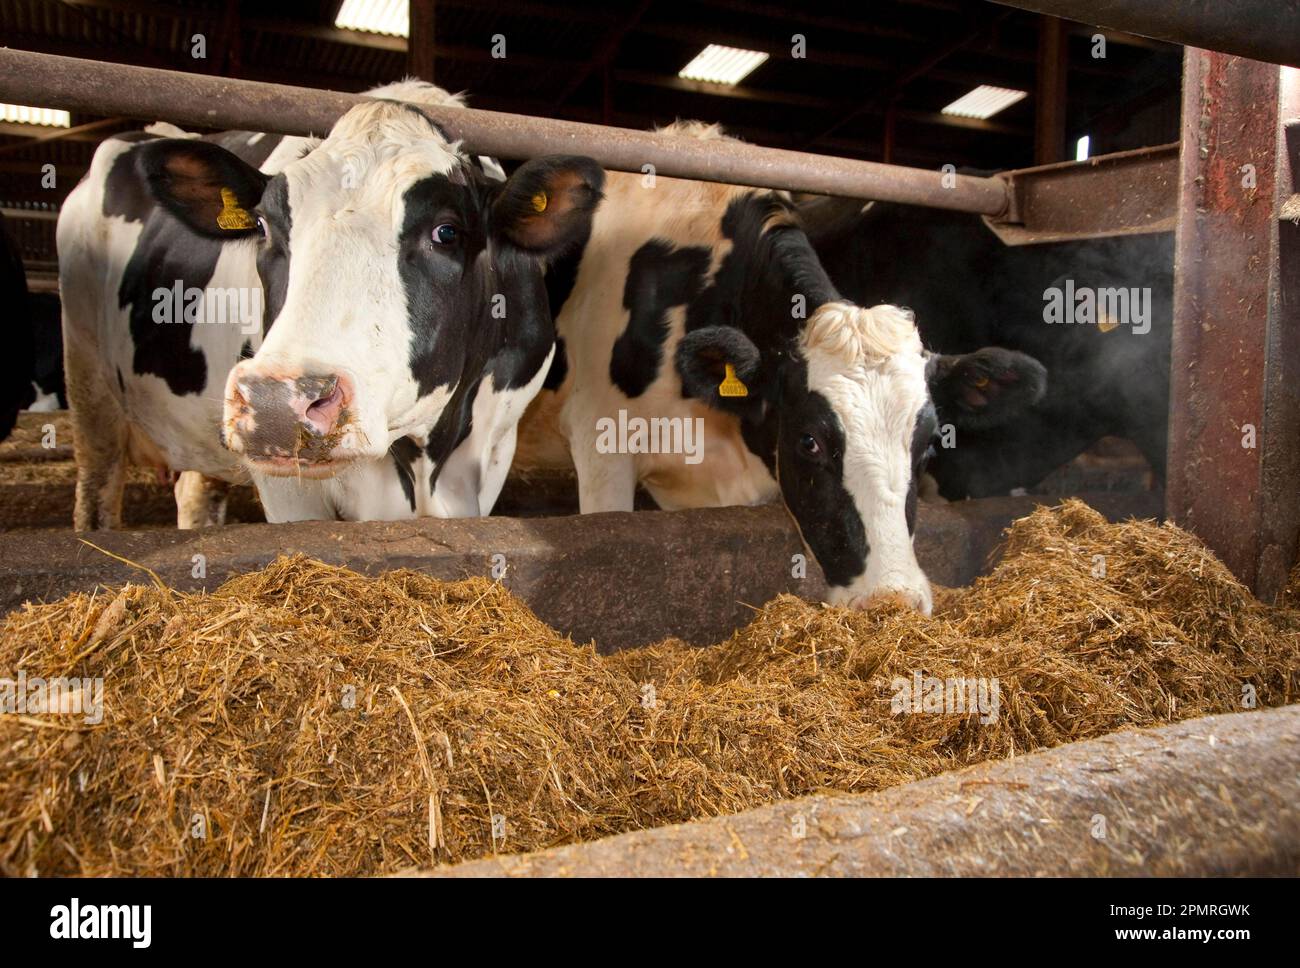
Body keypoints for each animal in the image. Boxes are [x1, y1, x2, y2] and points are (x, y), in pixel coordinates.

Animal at [57, 81, 602, 530]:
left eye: (446, 232)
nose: (277, 403)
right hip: (87, 379)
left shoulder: (492, 450)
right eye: (263, 226)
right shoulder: (287, 486)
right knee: (97, 491)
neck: (425, 455)